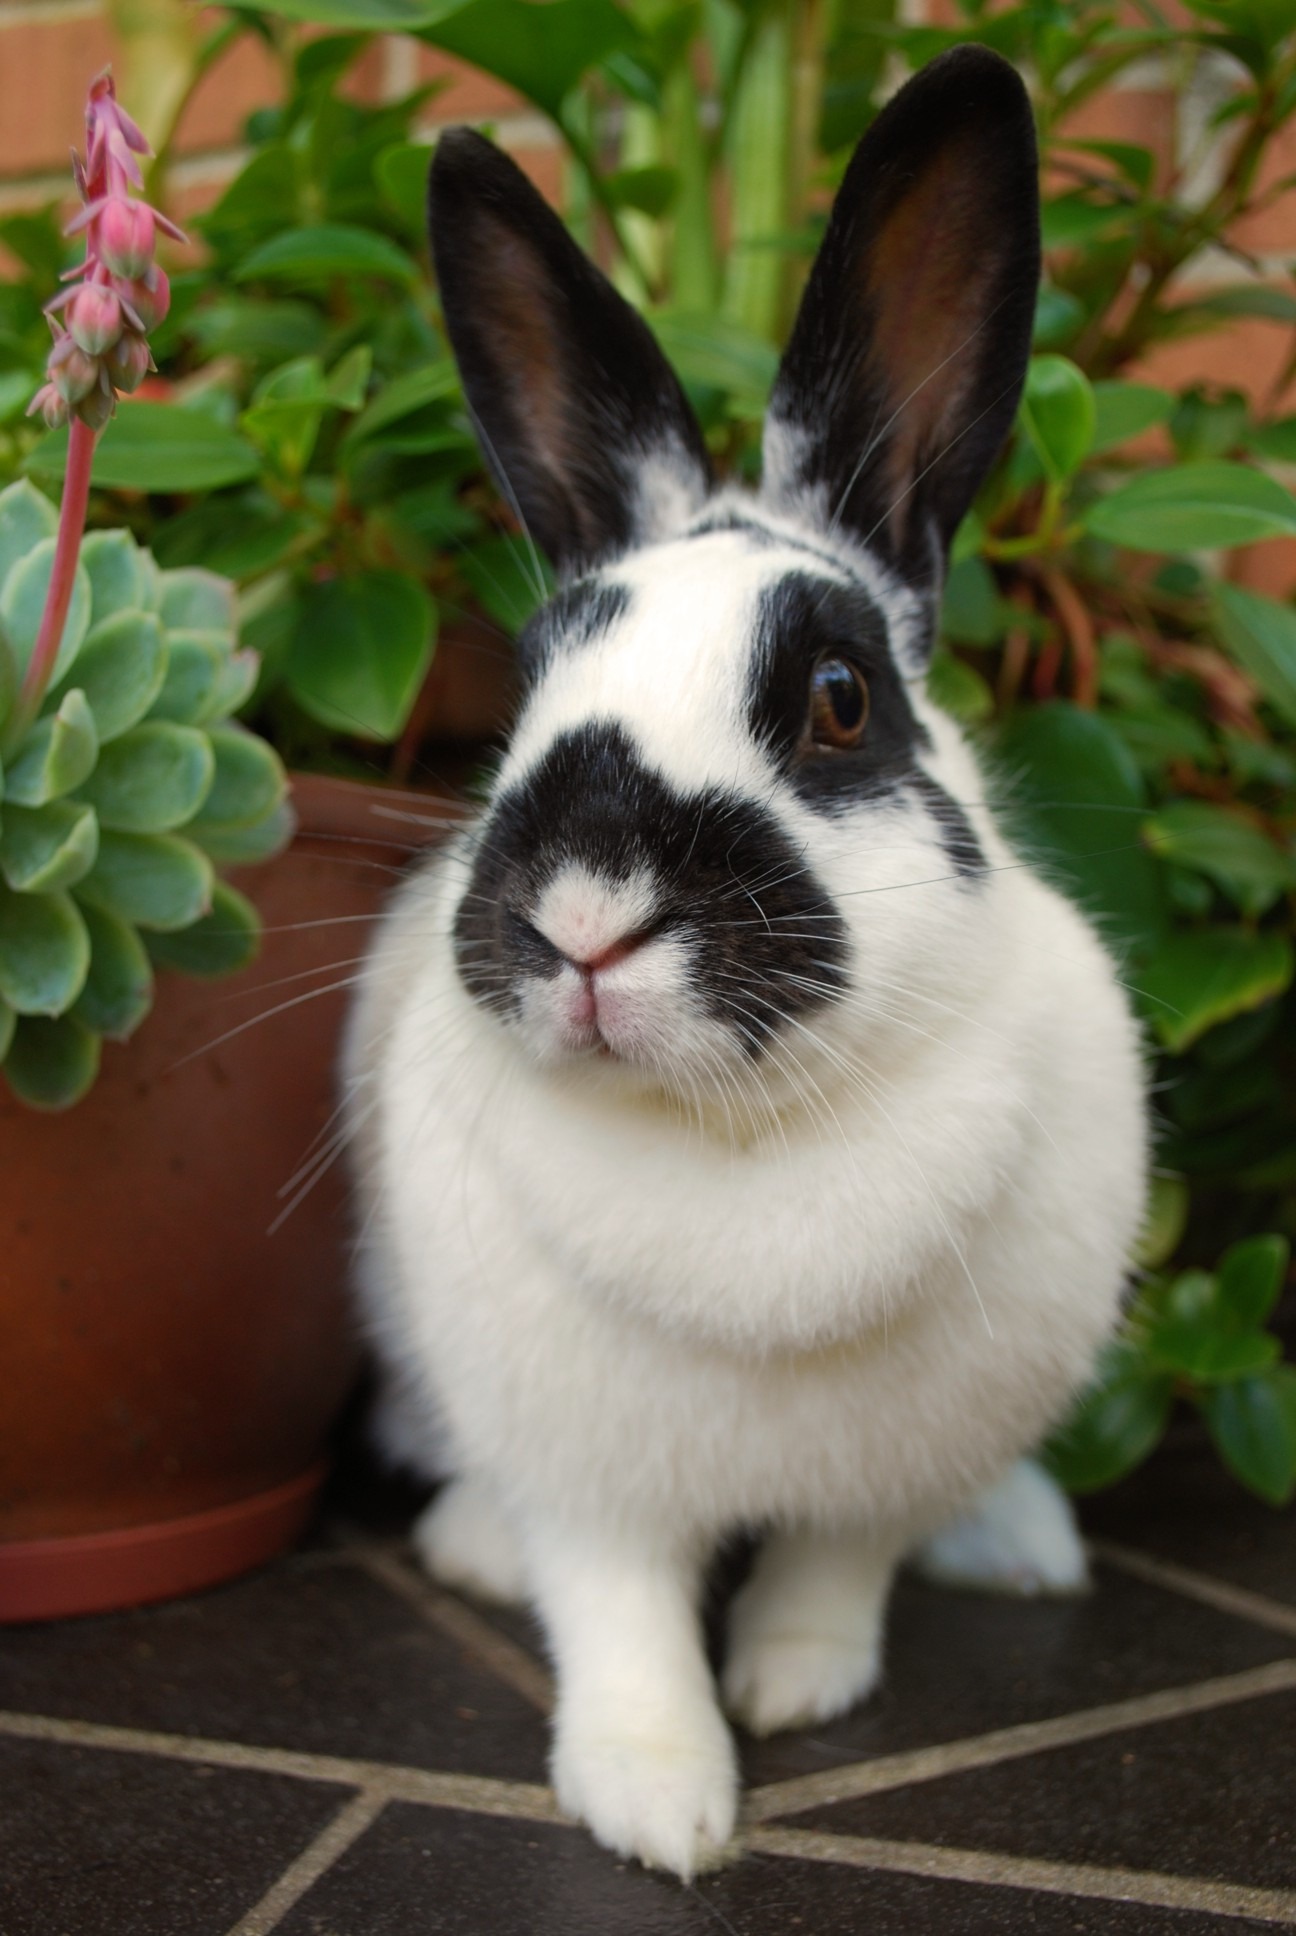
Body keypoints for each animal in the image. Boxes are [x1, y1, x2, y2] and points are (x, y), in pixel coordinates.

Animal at [342, 43, 1148, 1881]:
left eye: (840, 699)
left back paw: (1026, 1543)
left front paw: (795, 1685)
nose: (581, 909)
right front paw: (660, 1800)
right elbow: (619, 1619)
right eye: (531, 687)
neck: (738, 1135)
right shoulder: (588, 1478)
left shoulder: (881, 1469)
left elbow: (833, 1570)